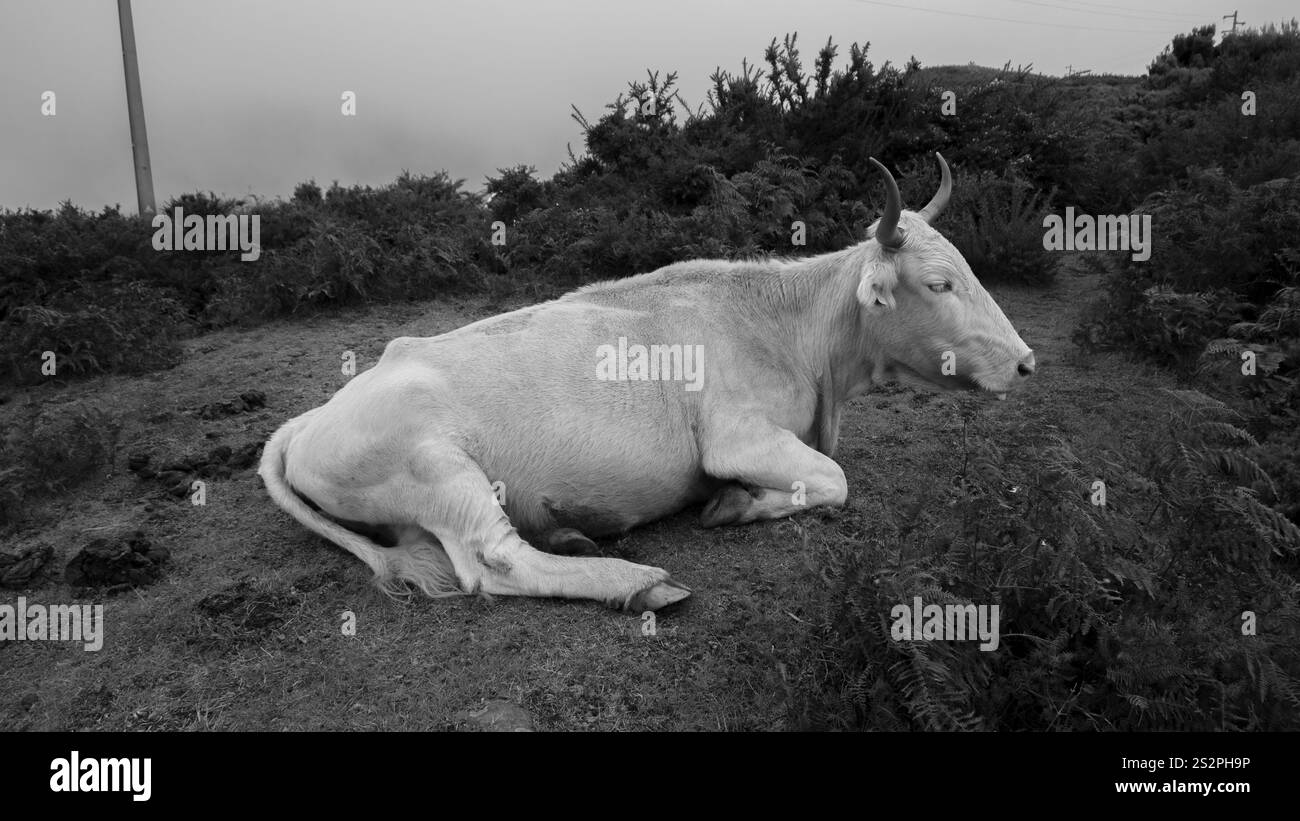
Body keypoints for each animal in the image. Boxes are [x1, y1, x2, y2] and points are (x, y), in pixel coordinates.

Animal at [259, 153, 1035, 612]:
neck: (793, 334)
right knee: (495, 561)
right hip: (442, 471)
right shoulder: (736, 438)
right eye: (939, 283)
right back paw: (637, 582)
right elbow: (834, 479)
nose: (1027, 362)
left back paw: (577, 537)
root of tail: (304, 422)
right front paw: (737, 503)